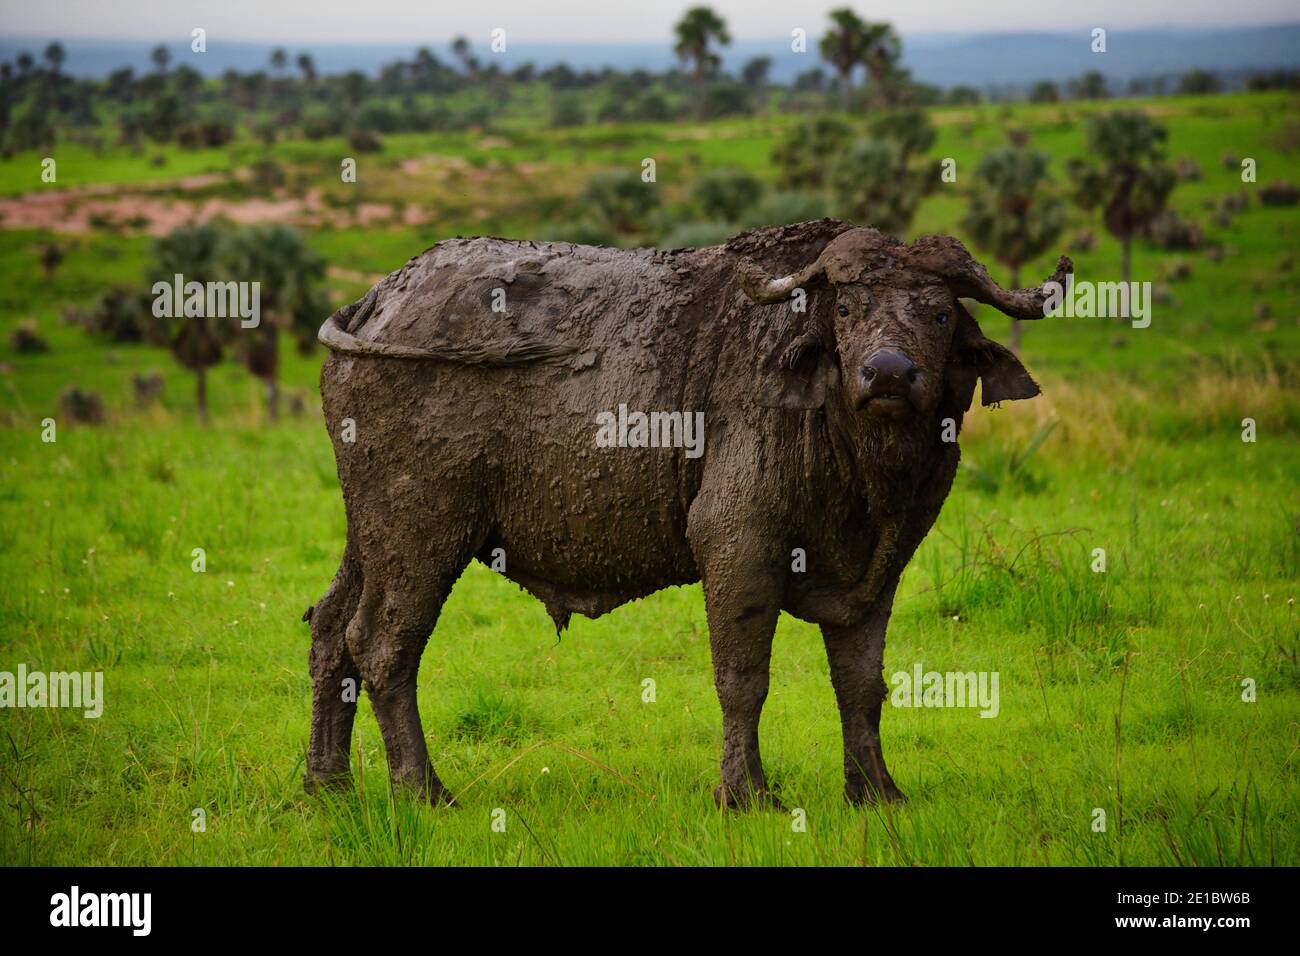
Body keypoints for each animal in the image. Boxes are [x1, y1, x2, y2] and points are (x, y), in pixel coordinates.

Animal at [305, 219, 1071, 808]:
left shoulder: (881, 566)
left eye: (939, 314)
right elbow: (743, 679)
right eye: (848, 310)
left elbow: (861, 685)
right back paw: (423, 791)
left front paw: (876, 791)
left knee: (331, 630)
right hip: (422, 532)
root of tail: (379, 300)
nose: (886, 373)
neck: (850, 452)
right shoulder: (738, 542)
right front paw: (746, 794)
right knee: (382, 645)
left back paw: (329, 784)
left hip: (368, 532)